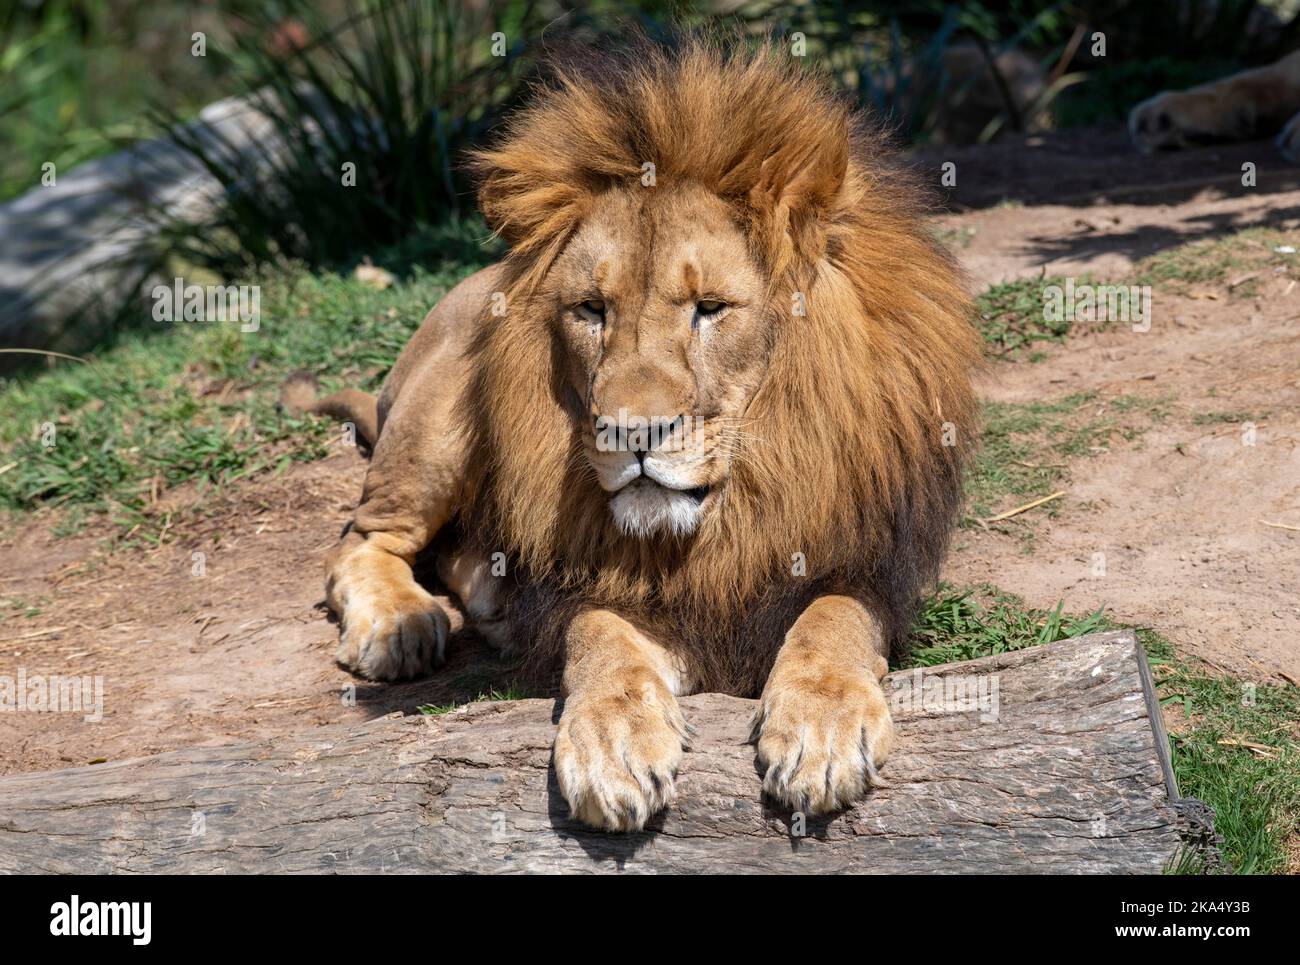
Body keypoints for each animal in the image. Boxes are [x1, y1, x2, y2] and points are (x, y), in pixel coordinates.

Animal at [288, 39, 981, 832]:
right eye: (592, 309)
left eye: (710, 308)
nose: (629, 432)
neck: (732, 513)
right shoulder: (591, 589)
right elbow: (599, 637)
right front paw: (612, 744)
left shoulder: (871, 565)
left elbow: (834, 618)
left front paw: (820, 729)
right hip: (436, 429)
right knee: (362, 538)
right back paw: (400, 625)